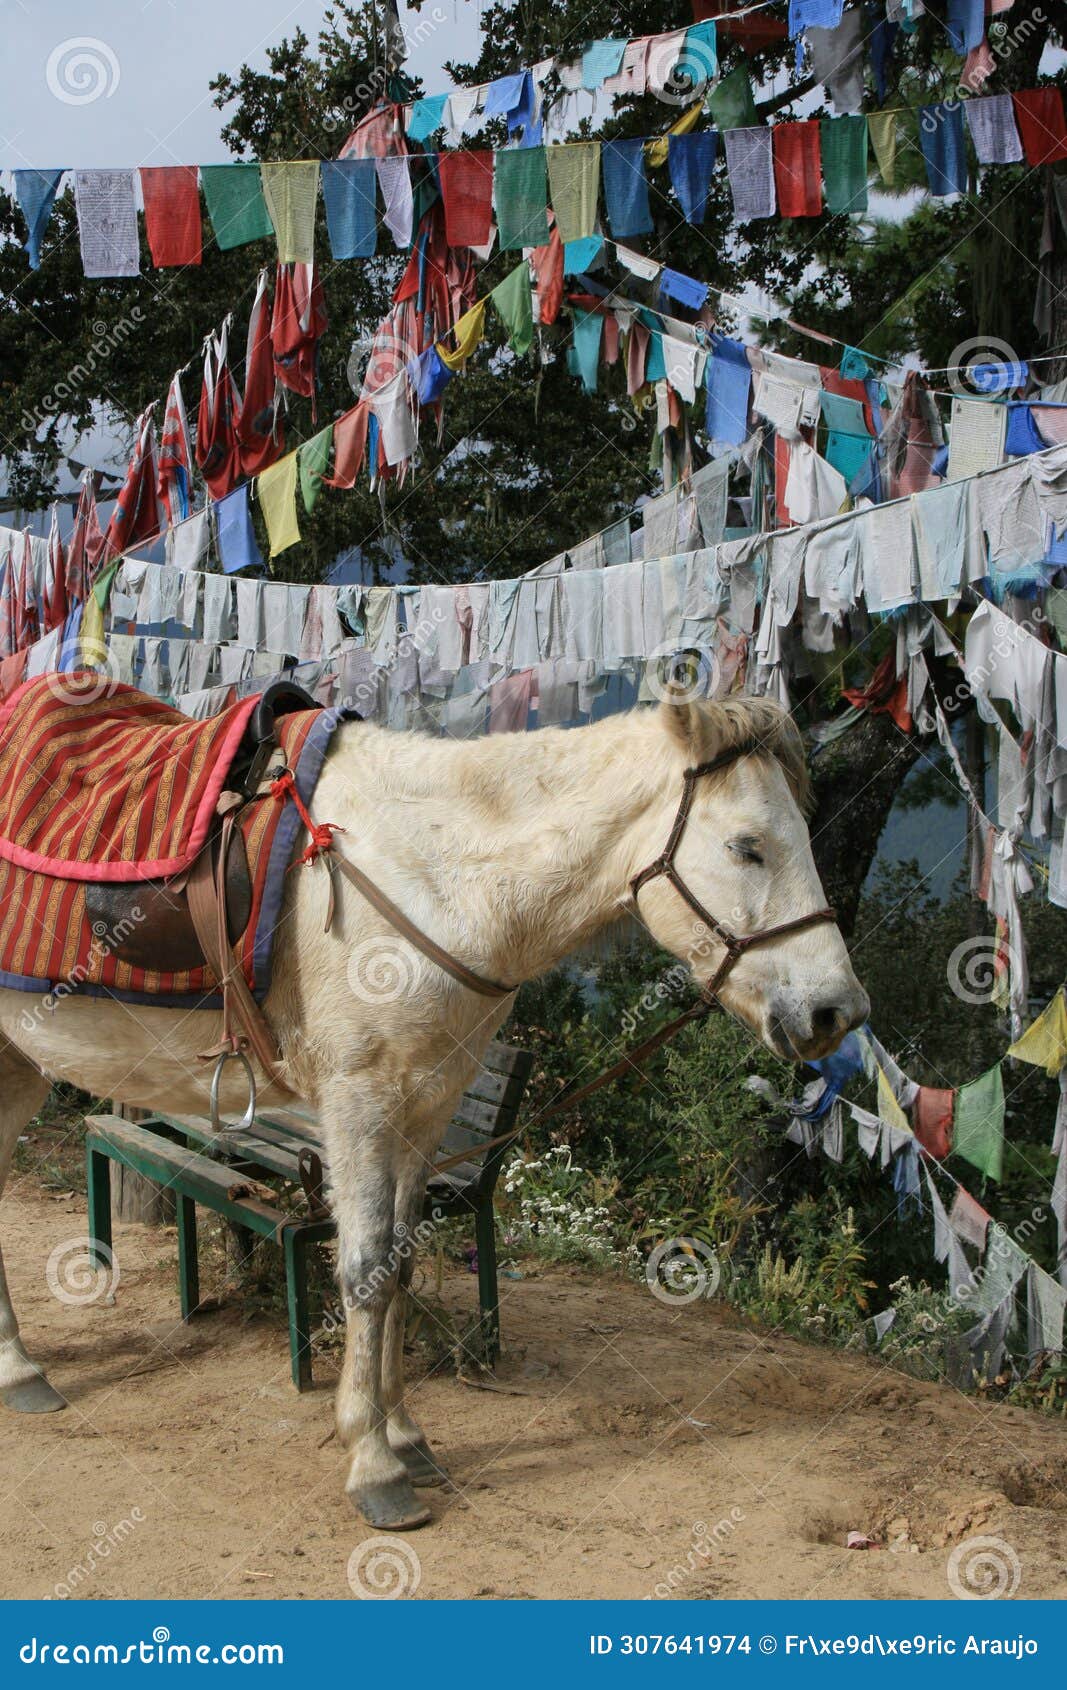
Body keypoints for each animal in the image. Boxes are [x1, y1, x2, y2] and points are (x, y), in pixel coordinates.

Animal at [0, 694, 868, 1530]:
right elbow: (361, 1271)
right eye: (747, 846)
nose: (838, 1012)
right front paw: (372, 1466)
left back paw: (18, 1369)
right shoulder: (357, 1104)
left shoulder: (427, 1106)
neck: (436, 876)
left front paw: (406, 1438)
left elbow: (402, 1263)